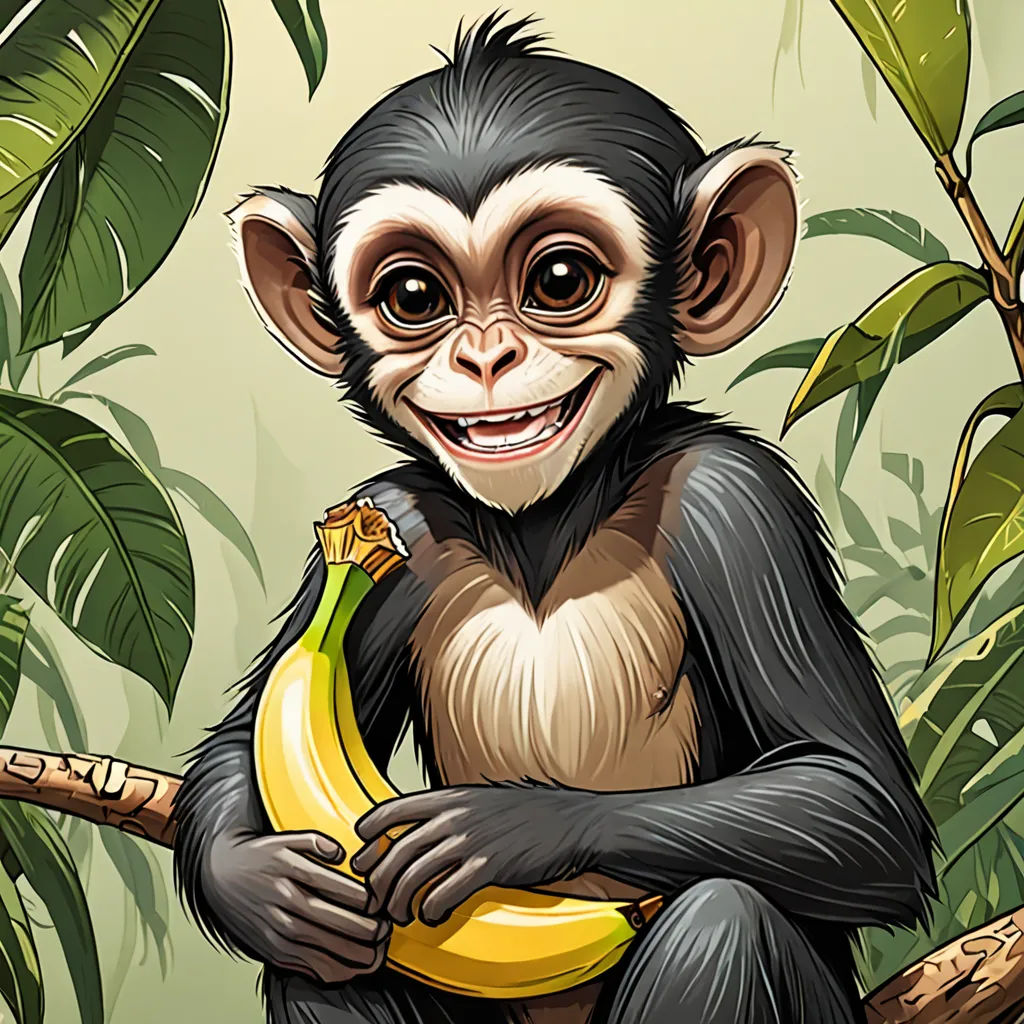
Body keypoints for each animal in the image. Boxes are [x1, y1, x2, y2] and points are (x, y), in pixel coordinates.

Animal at [172, 13, 937, 1024]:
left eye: (561, 279)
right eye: (413, 298)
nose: (486, 358)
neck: (546, 522)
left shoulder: (737, 504)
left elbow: (858, 797)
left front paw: (514, 824)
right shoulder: (400, 514)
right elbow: (234, 748)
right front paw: (265, 884)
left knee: (723, 919)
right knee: (328, 970)